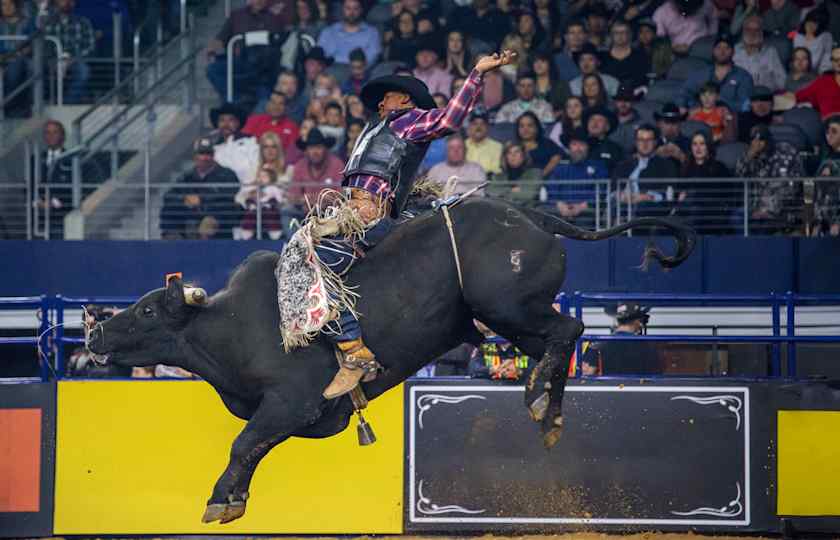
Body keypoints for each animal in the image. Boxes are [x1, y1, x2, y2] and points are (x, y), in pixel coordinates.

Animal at [86, 198, 695, 524]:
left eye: (146, 310)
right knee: (557, 338)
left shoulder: (292, 403)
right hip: (509, 319)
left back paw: (538, 398)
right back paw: (548, 413)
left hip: (508, 306)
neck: (232, 326)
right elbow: (252, 447)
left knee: (568, 329)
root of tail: (530, 219)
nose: (95, 328)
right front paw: (233, 498)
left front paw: (220, 501)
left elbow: (245, 443)